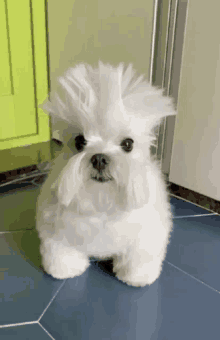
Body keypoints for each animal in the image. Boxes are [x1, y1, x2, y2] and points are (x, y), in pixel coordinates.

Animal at [37, 61, 176, 286]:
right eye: (80, 141)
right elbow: (61, 254)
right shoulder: (57, 234)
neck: (102, 203)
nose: (99, 158)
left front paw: (137, 278)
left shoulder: (145, 237)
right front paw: (65, 271)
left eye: (128, 144)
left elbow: (138, 258)